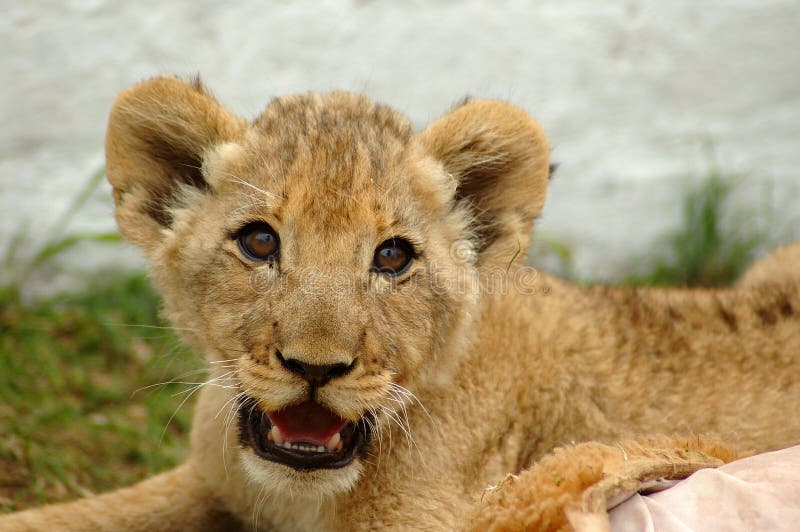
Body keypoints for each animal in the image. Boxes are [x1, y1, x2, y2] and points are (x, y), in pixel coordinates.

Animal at [1, 76, 798, 531]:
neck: (298, 496)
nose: (315, 368)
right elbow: (72, 516)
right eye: (259, 242)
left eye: (392, 257)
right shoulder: (205, 480)